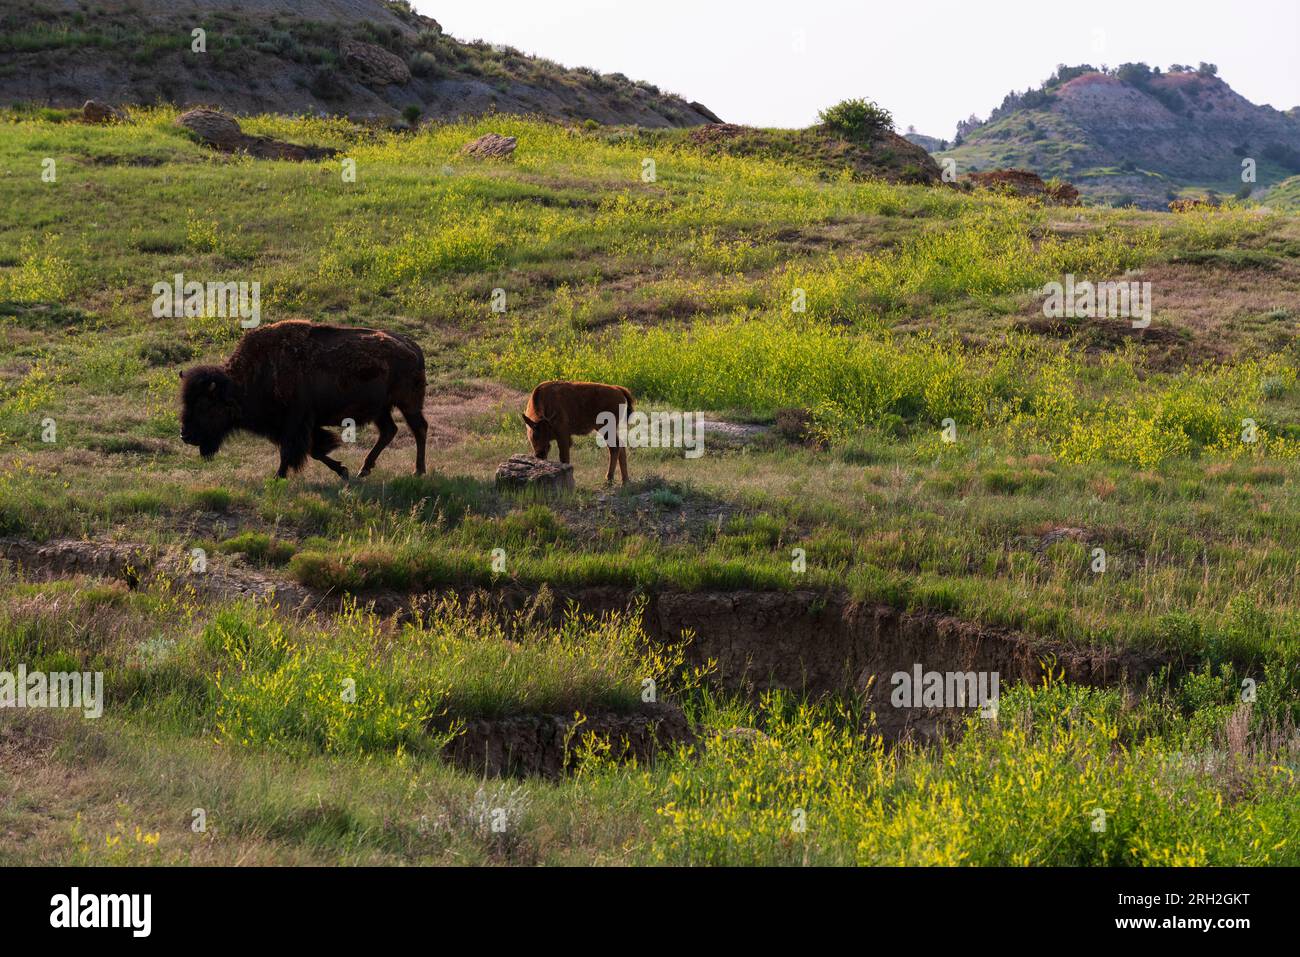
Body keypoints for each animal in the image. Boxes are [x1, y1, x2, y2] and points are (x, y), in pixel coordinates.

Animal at [180, 320, 427, 479]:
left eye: (205, 405)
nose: (185, 435)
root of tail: (412, 346)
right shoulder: (298, 426)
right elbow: (314, 450)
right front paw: (343, 471)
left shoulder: (294, 422)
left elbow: (291, 451)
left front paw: (277, 477)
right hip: (381, 409)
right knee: (389, 431)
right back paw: (364, 470)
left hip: (408, 404)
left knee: (419, 428)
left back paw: (418, 471)